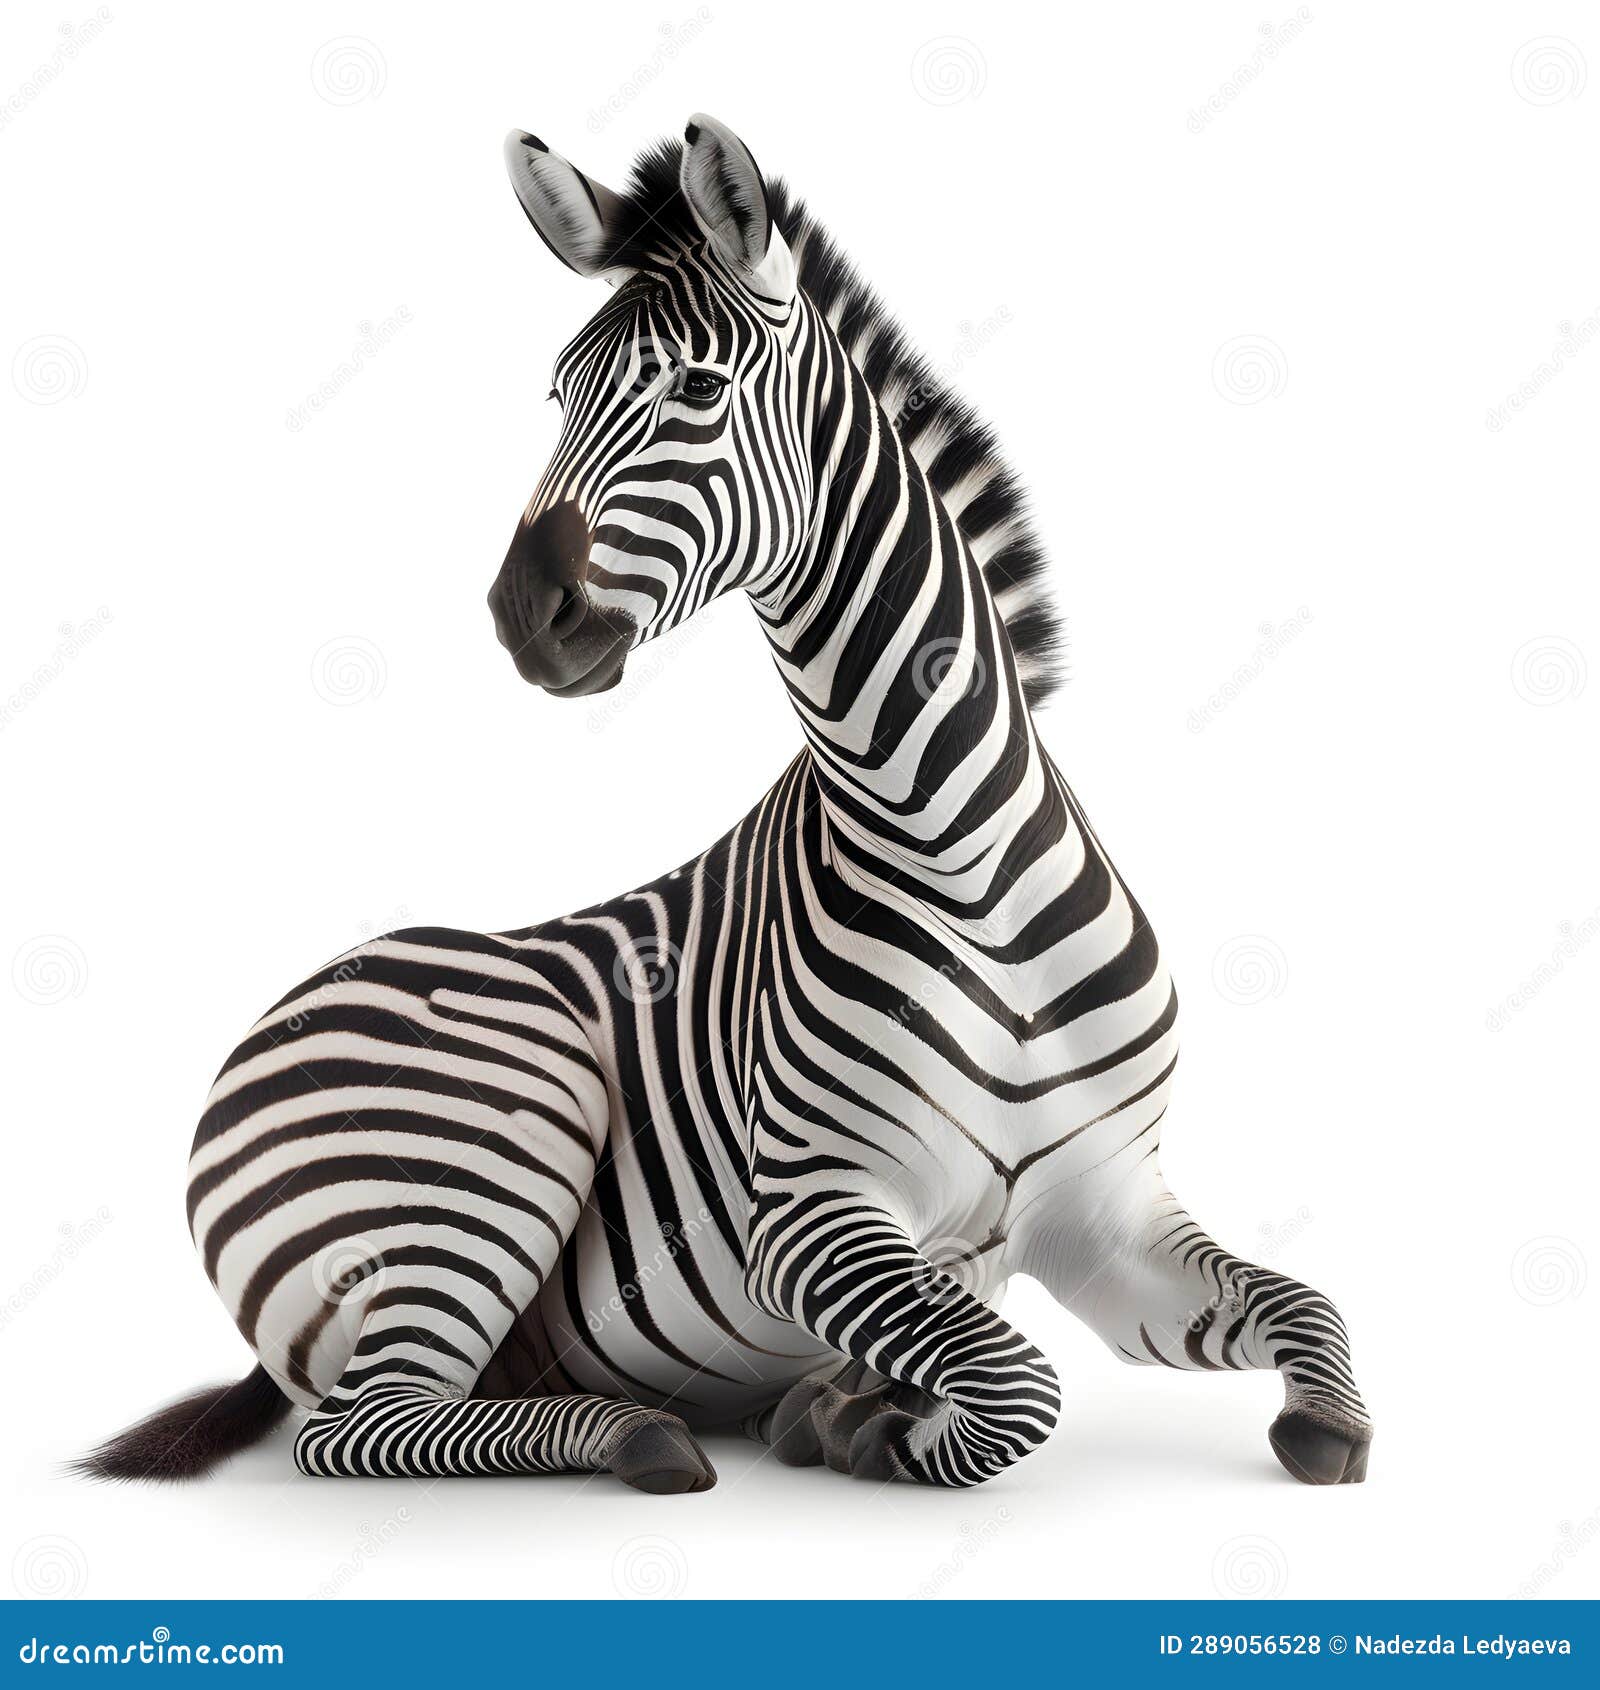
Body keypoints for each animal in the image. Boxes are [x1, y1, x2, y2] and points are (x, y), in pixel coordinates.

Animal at [82, 114, 1372, 1494]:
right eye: (559, 396)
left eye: (695, 393)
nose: (519, 614)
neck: (963, 856)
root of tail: (260, 1032)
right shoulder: (803, 1212)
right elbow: (1017, 1389)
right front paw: (870, 1422)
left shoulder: (1102, 1210)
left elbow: (1304, 1301)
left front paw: (1324, 1422)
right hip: (499, 1122)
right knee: (360, 1424)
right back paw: (639, 1432)